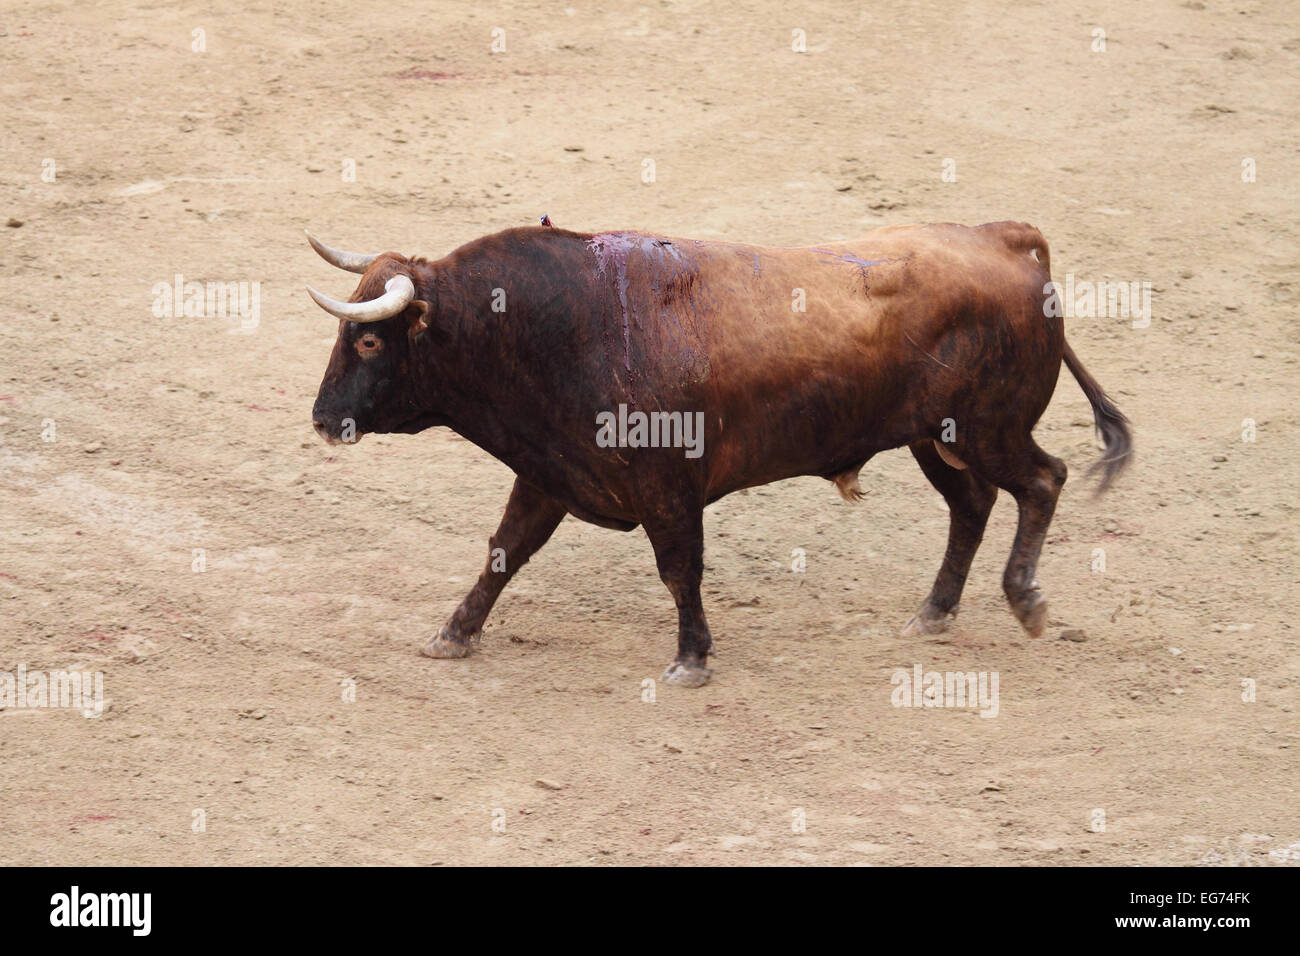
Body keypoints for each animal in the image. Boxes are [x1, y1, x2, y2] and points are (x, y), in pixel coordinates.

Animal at [305, 221, 1131, 687]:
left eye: (370, 341)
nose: (320, 419)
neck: (559, 323)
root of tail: (1009, 241)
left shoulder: (669, 489)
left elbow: (680, 570)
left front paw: (692, 660)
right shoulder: (549, 474)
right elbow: (505, 551)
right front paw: (454, 634)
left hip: (985, 430)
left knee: (1042, 481)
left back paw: (1024, 599)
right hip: (937, 439)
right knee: (973, 505)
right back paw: (934, 612)